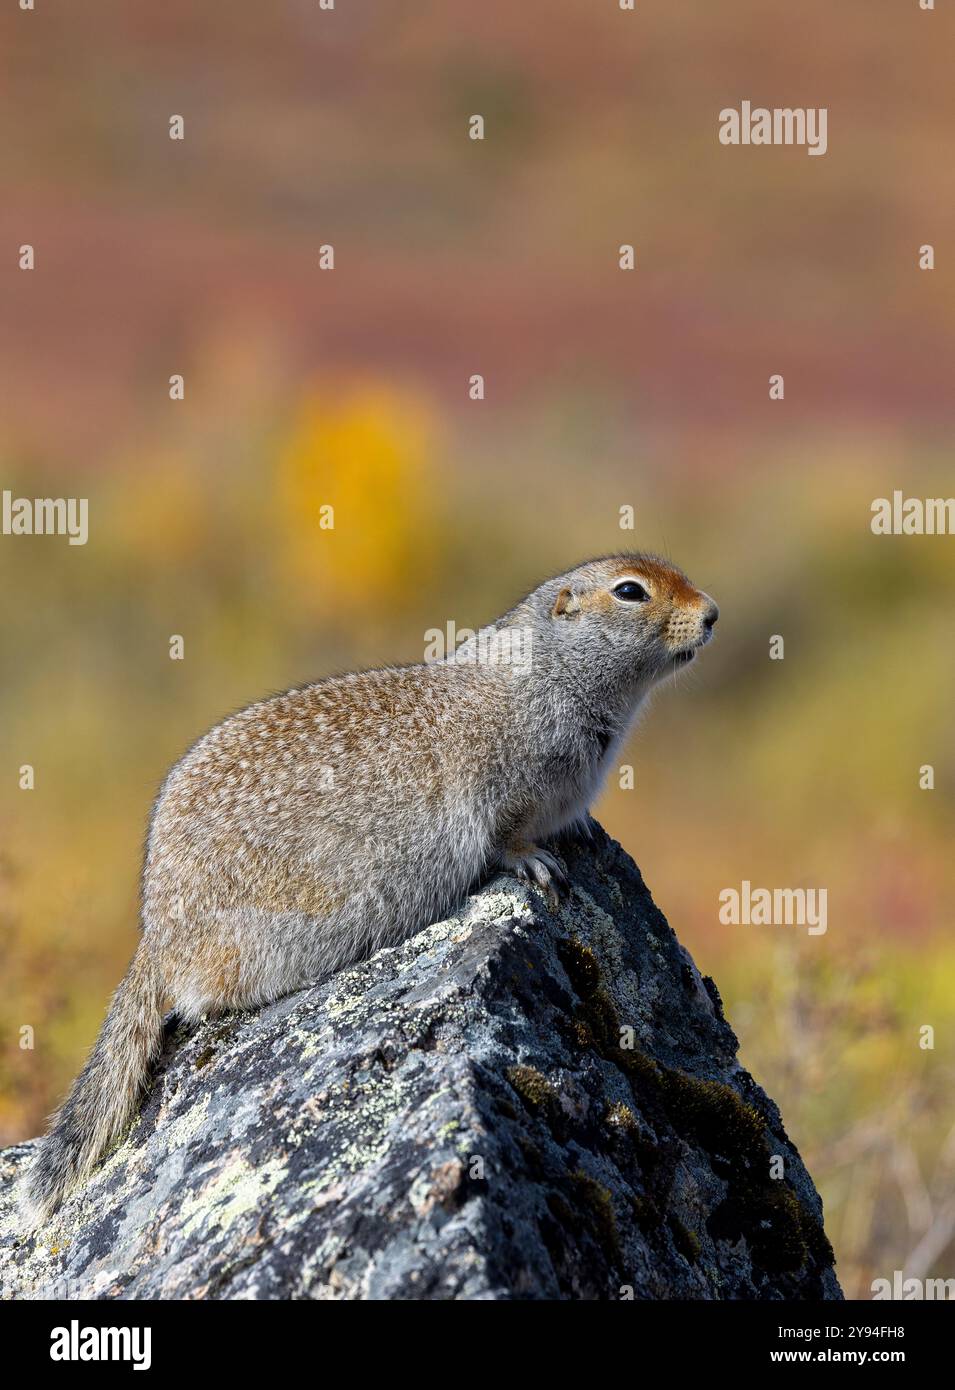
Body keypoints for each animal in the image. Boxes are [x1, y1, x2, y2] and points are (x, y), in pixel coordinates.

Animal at [23, 552, 717, 1224]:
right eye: (630, 591)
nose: (712, 613)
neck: (549, 673)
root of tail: (157, 932)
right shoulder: (502, 786)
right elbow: (504, 837)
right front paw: (536, 862)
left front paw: (586, 829)